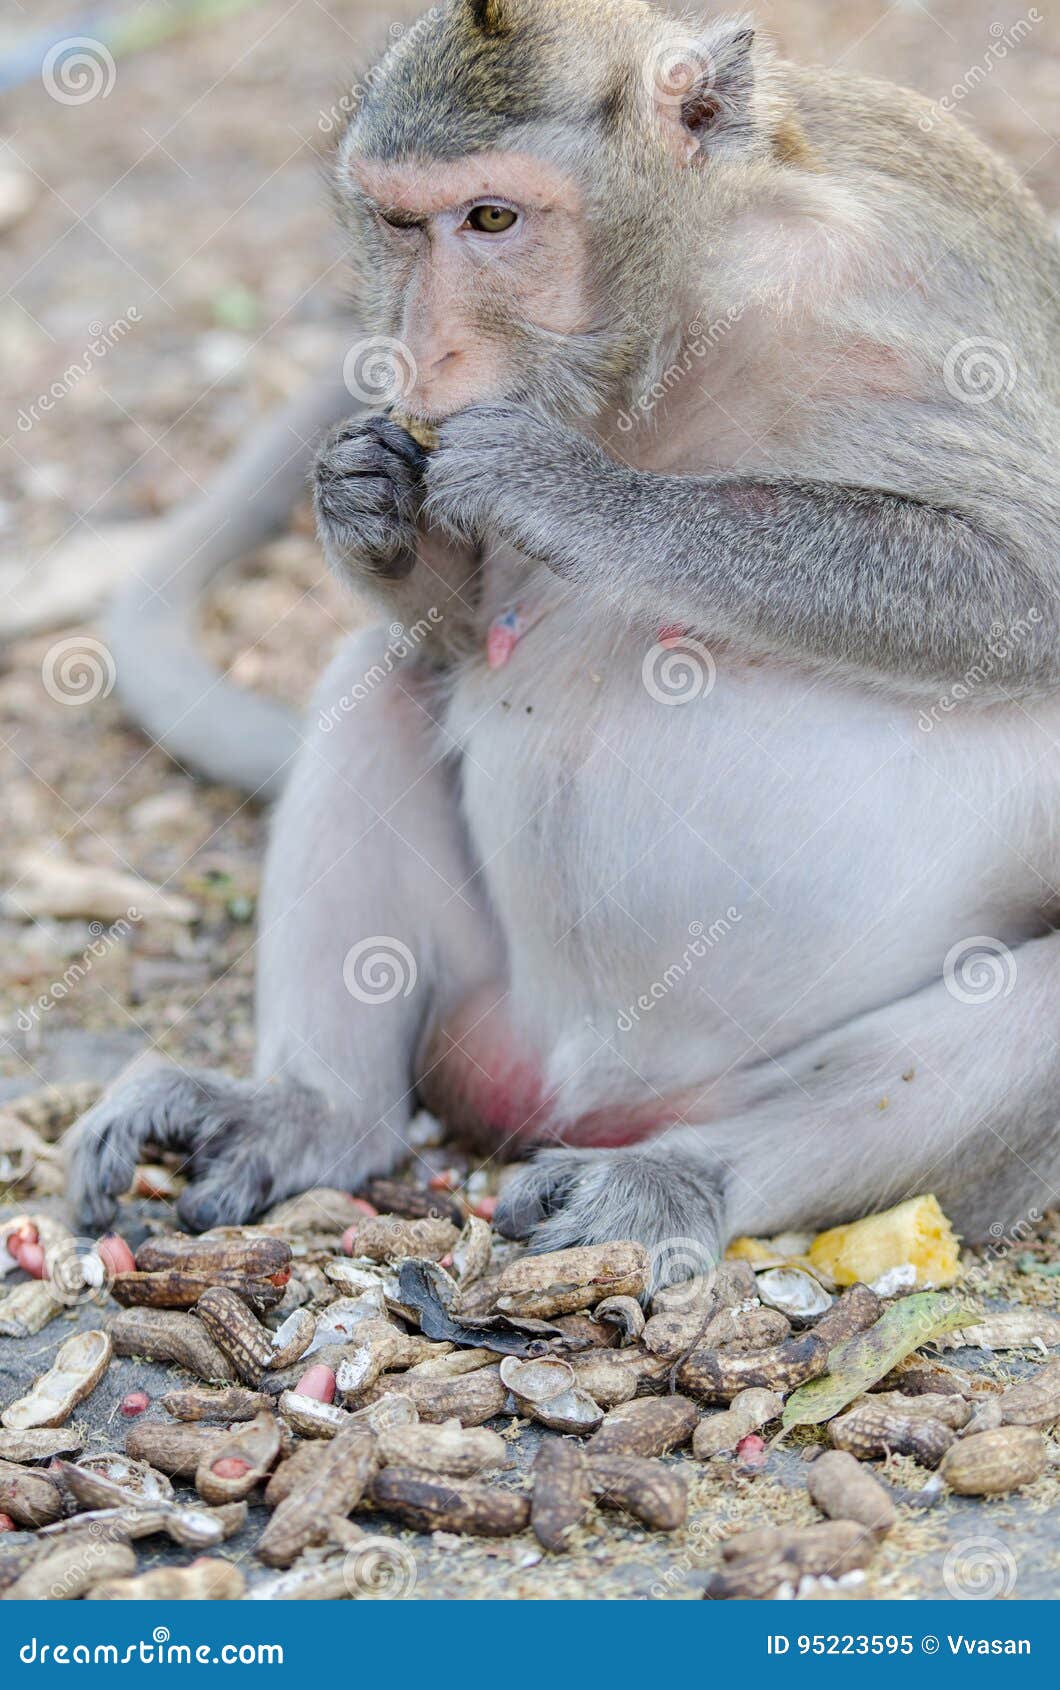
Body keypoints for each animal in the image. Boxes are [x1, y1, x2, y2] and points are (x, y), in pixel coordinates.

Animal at [69, 0, 1060, 1286]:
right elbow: (449, 635)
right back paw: (311, 1113)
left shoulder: (910, 285)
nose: (418, 348)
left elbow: (1030, 583)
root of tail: (575, 1086)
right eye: (400, 223)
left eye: (492, 221)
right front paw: (368, 498)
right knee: (386, 681)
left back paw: (680, 1177)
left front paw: (577, 495)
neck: (695, 317)